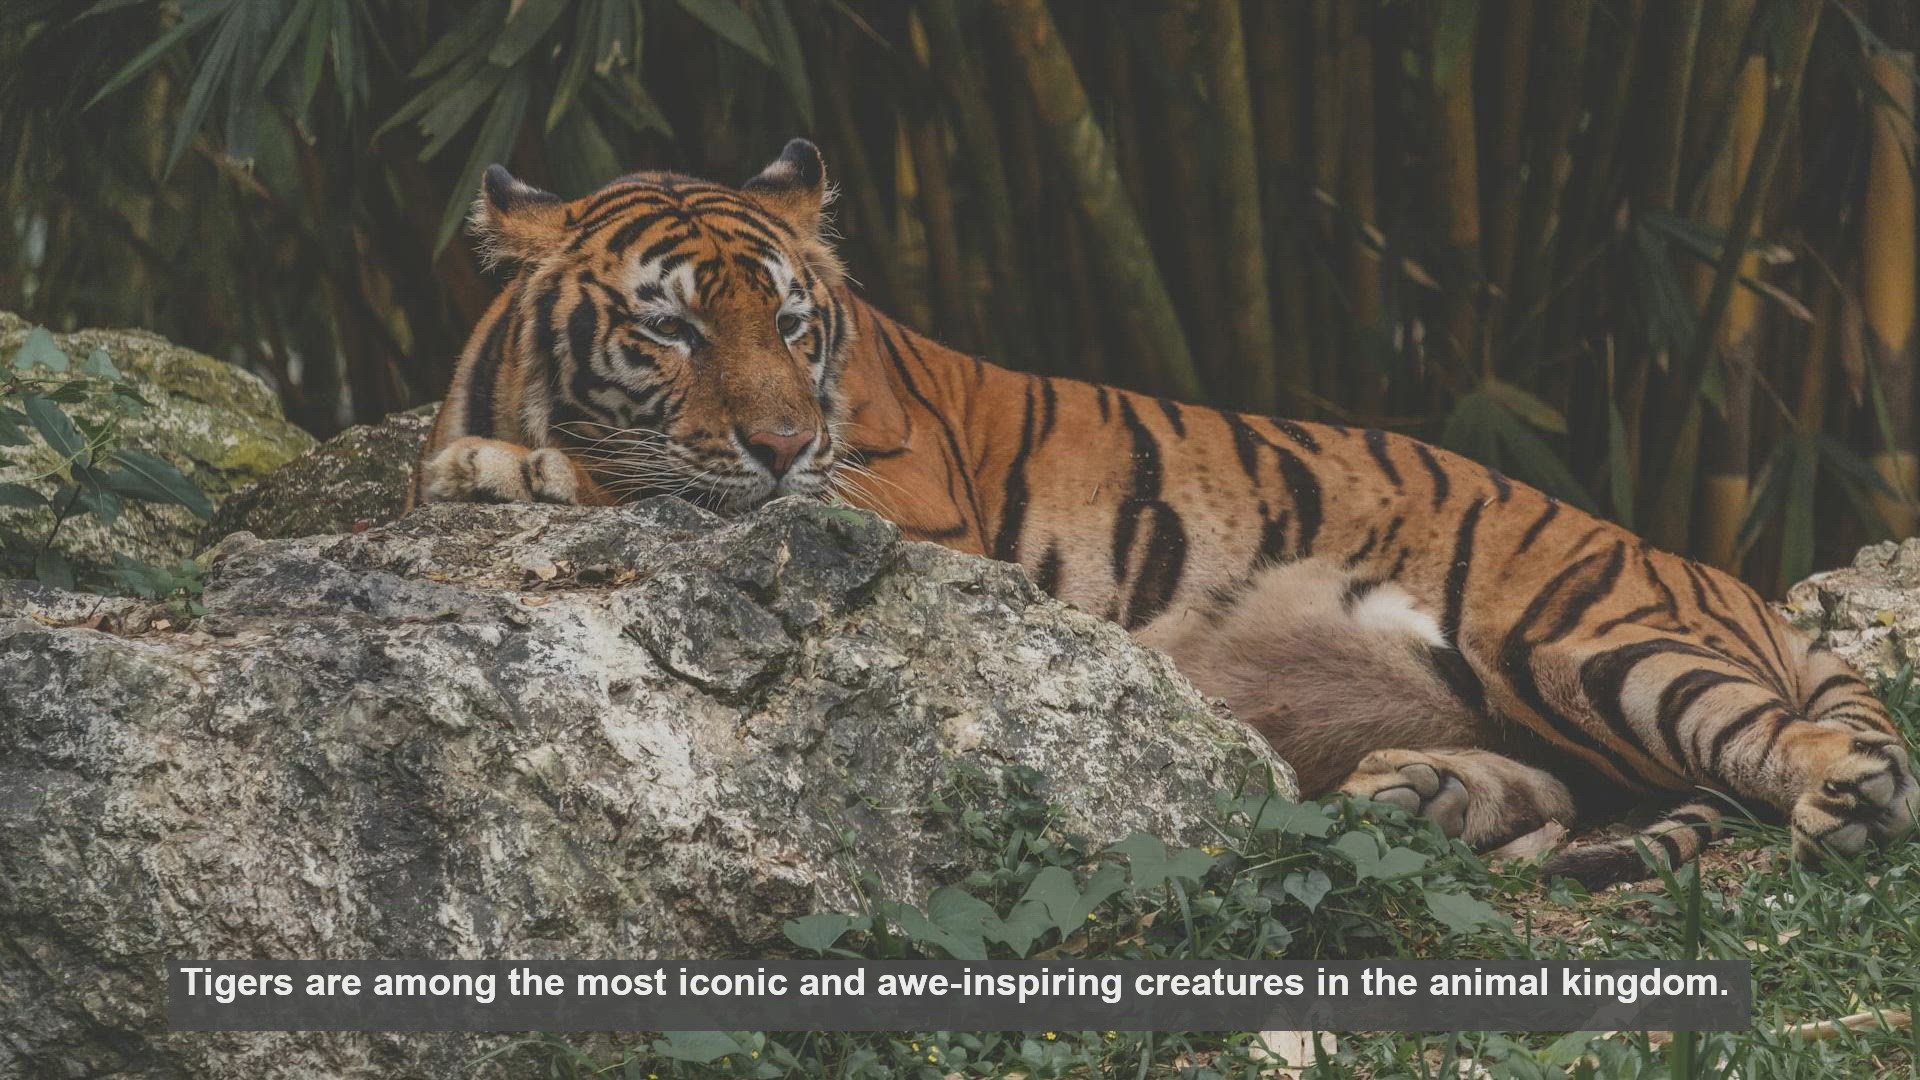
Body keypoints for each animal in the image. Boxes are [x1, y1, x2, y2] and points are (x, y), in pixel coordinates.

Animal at [417, 139, 1918, 887]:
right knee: (1582, 780)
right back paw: (1418, 795)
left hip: (1576, 634)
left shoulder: (896, 497)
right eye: (669, 326)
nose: (784, 441)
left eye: (791, 324)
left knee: (1770, 745)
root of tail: (1708, 570)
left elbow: (660, 478)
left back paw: (1846, 797)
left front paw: (500, 470)